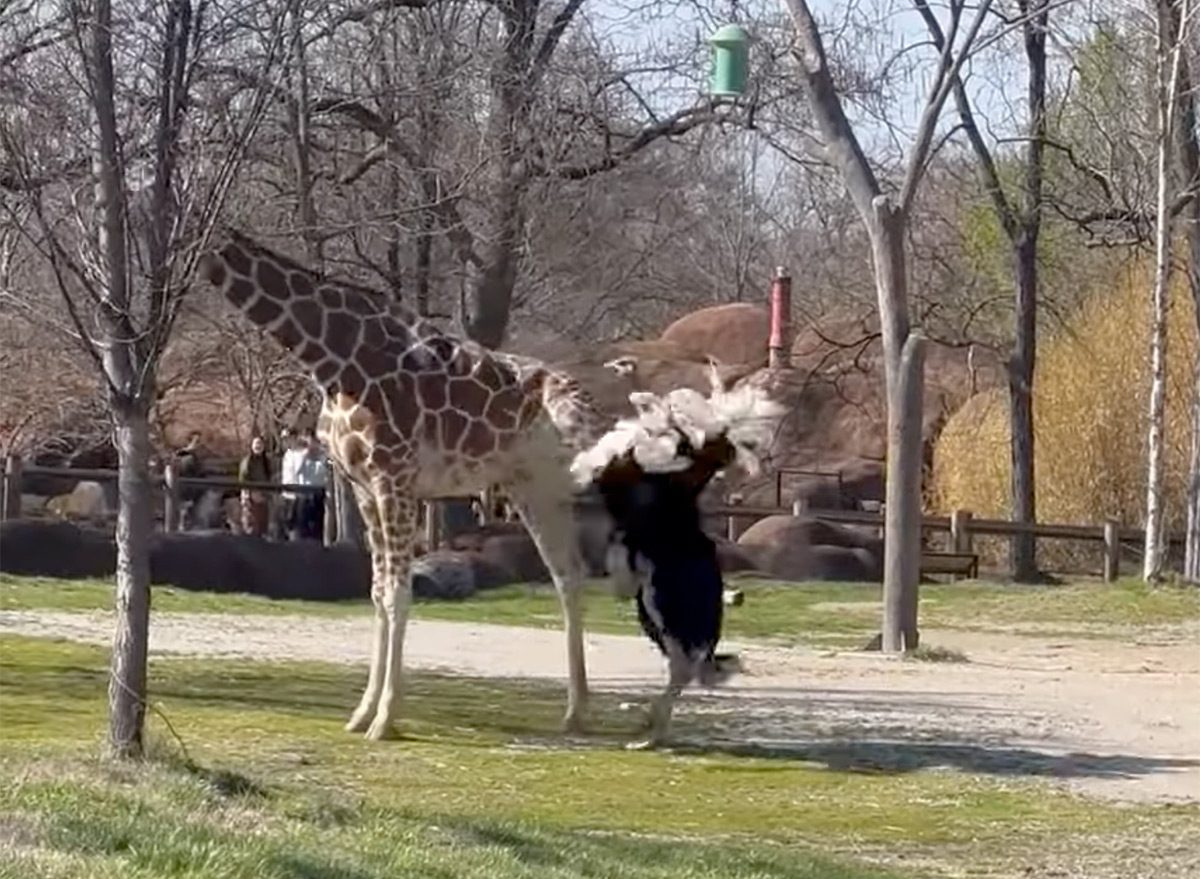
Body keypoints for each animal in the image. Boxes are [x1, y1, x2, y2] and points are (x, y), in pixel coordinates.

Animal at [198, 228, 606, 741]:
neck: (332, 357)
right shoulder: (362, 486)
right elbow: (377, 591)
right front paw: (362, 713)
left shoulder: (395, 479)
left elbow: (397, 592)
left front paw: (386, 718)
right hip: (535, 488)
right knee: (569, 573)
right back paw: (576, 712)